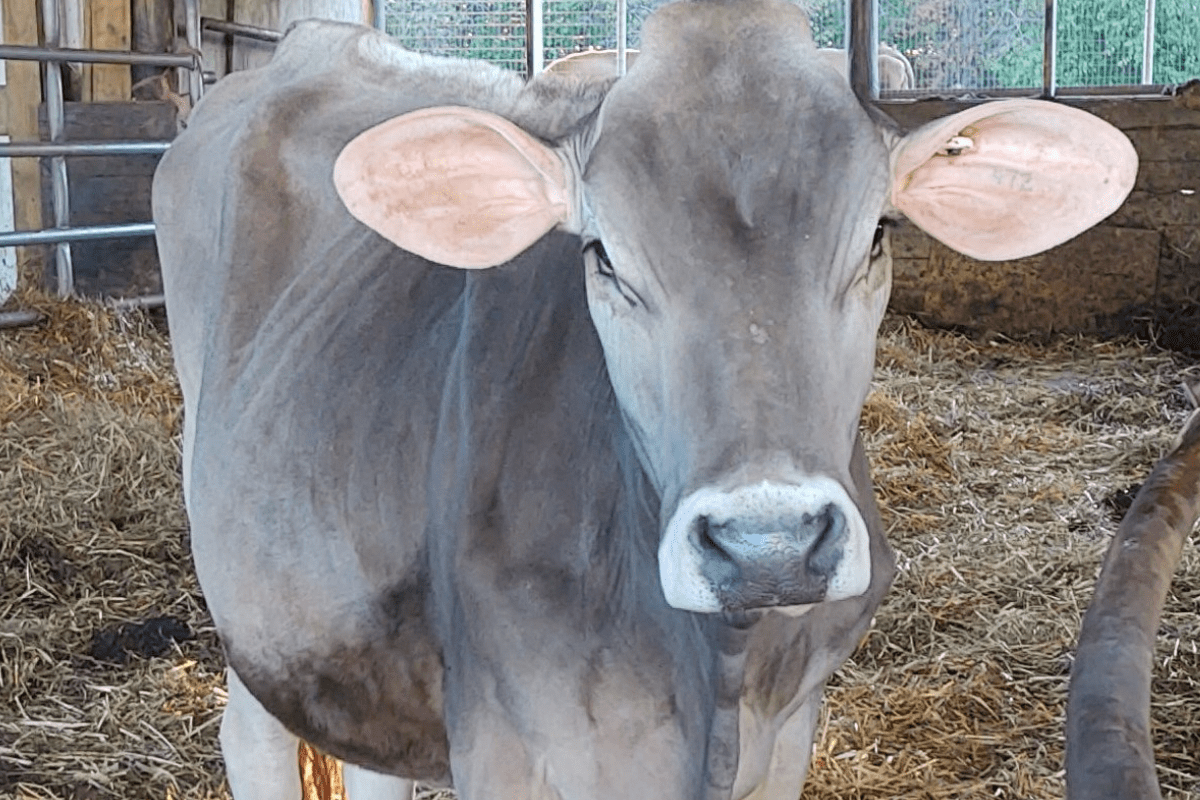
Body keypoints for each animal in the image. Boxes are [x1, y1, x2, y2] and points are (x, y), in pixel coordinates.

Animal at [151, 1, 1136, 798]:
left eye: (877, 236)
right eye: (603, 256)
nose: (768, 544)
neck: (714, 678)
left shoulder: (789, 732)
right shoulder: (512, 748)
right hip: (253, 610)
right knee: (256, 739)